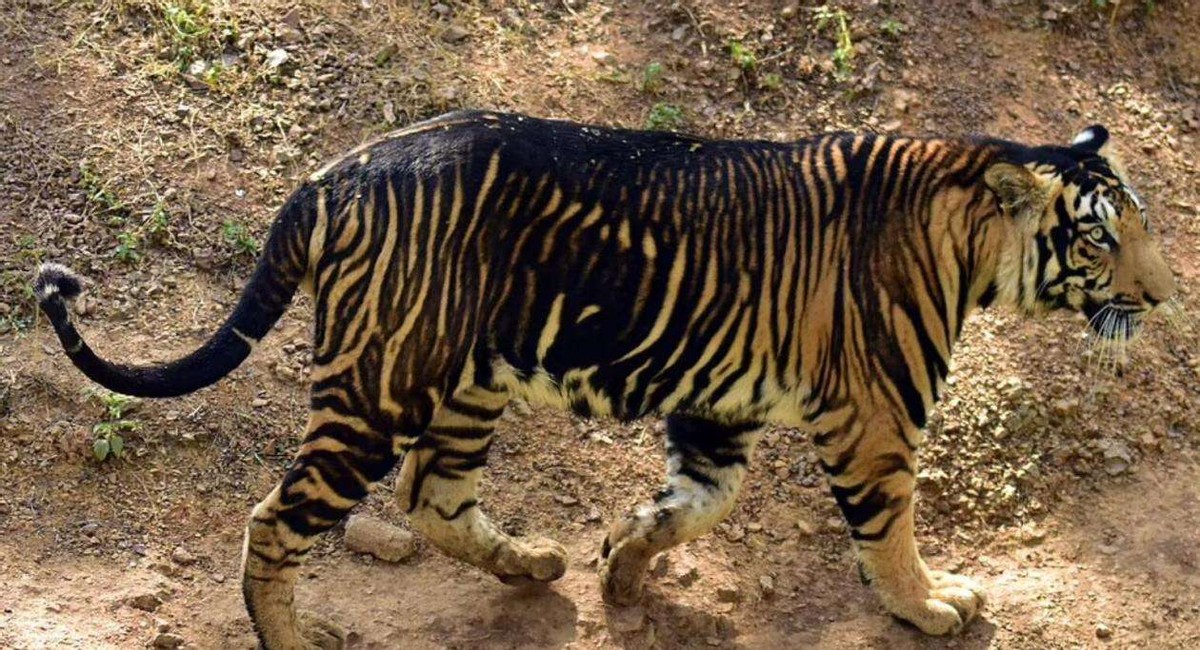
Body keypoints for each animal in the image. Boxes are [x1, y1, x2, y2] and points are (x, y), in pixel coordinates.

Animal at [34, 110, 1174, 648]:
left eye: (1142, 227)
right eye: (1102, 238)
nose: (1164, 297)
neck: (968, 240)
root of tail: (333, 171)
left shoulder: (719, 405)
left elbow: (699, 501)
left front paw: (622, 565)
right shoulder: (875, 417)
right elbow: (889, 531)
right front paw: (932, 606)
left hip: (468, 381)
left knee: (432, 493)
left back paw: (533, 563)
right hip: (381, 382)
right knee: (277, 516)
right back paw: (295, 637)